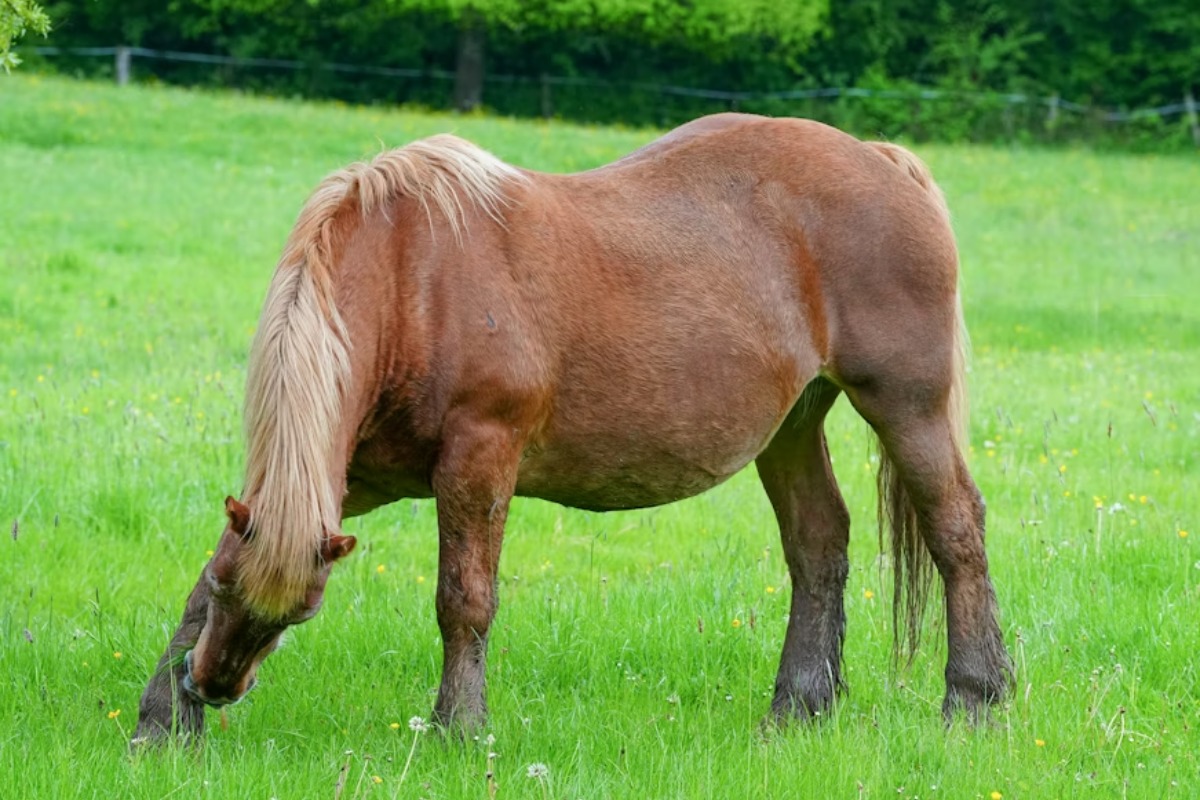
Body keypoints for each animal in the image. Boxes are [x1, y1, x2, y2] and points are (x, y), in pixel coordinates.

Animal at [132, 113, 1010, 743]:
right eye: (233, 593)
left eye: (302, 616)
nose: (213, 686)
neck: (414, 277)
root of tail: (882, 160)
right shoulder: (344, 482)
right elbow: (200, 576)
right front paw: (160, 723)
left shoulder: (480, 462)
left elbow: (465, 600)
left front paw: (459, 728)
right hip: (794, 424)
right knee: (819, 546)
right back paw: (797, 708)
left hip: (906, 405)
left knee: (956, 530)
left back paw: (973, 700)